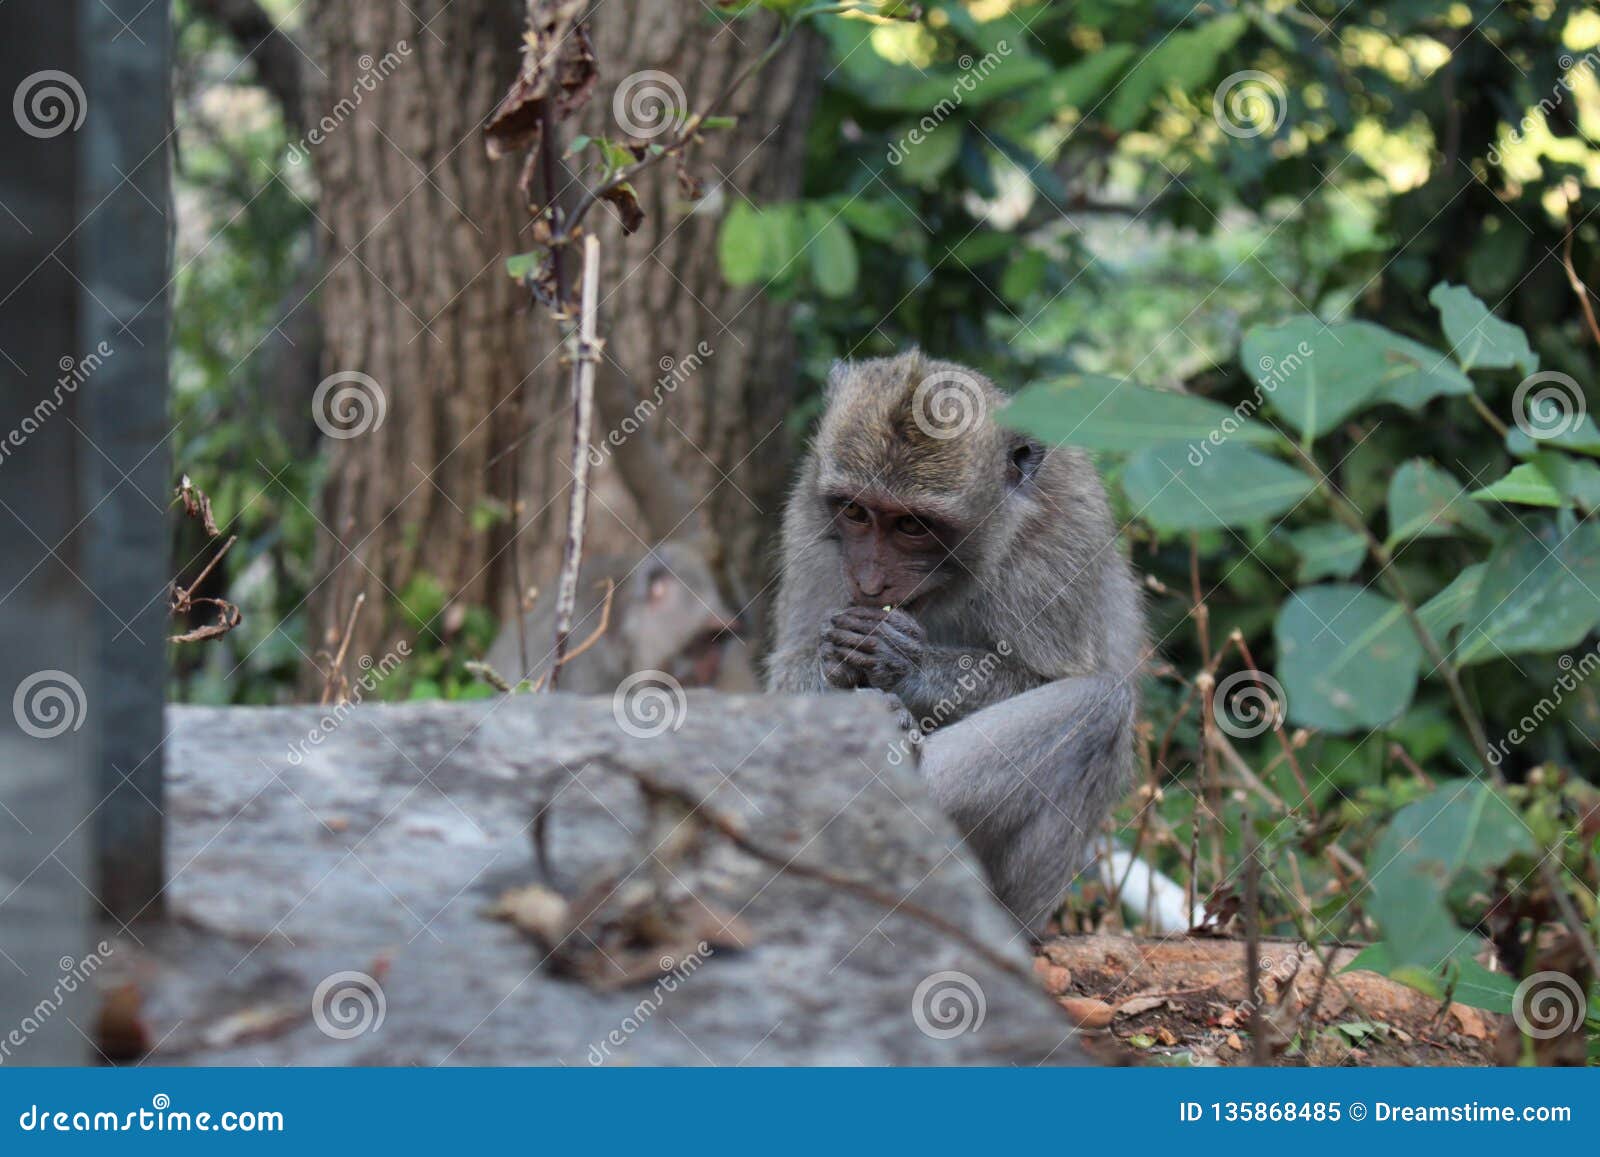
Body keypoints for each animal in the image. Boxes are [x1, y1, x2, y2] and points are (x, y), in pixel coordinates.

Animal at [766, 350, 1146, 930]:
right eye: (856, 511)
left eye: (913, 526)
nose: (870, 583)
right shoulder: (808, 514)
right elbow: (784, 679)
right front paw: (837, 665)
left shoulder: (1059, 535)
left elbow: (1061, 677)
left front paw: (904, 661)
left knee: (1100, 706)